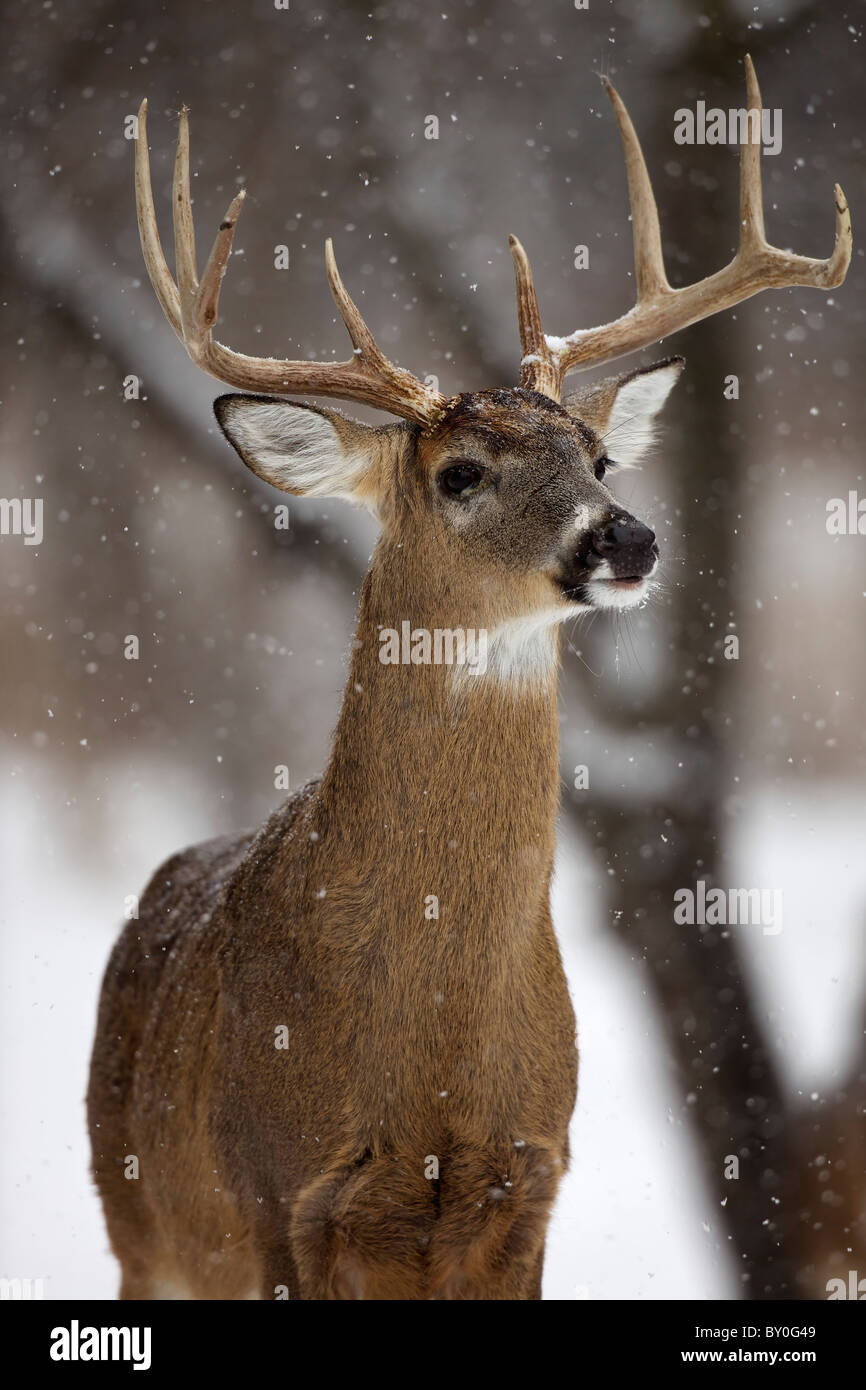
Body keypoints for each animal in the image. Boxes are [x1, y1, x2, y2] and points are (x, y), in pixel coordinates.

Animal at [88, 57, 851, 1300]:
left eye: (597, 457)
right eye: (459, 471)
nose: (628, 537)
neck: (431, 1057)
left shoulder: (528, 1184)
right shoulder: (279, 1196)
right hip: (142, 1225)